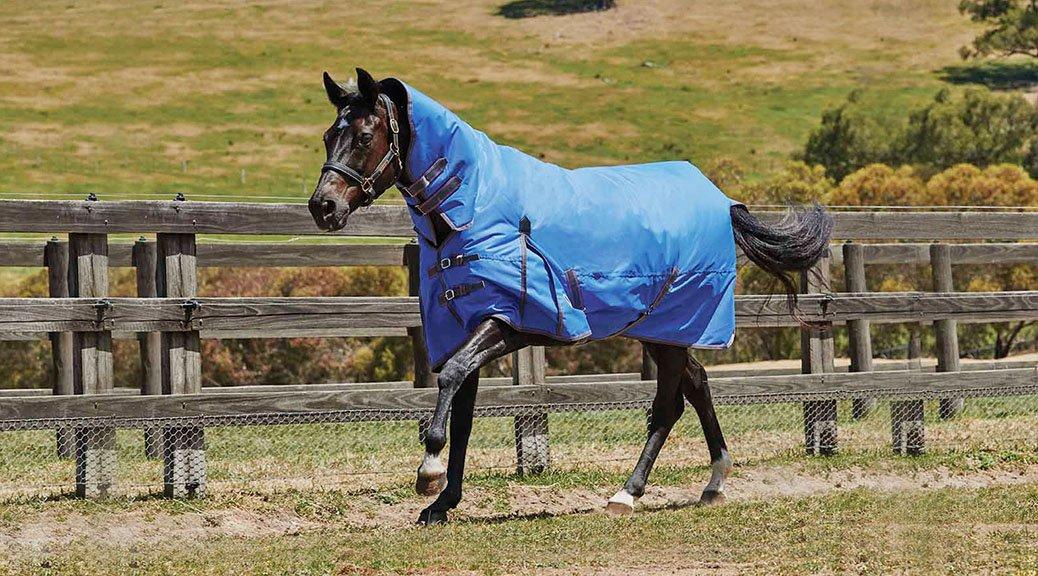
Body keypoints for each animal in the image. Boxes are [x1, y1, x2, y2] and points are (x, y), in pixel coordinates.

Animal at [309, 68, 833, 525]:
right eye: (329, 136)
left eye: (363, 136)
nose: (323, 207)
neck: (475, 207)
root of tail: (723, 202)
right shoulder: (465, 329)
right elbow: (462, 414)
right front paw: (443, 503)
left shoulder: (507, 323)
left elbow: (451, 379)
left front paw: (429, 474)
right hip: (659, 329)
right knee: (698, 385)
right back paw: (714, 482)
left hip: (671, 328)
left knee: (669, 406)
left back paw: (628, 493)